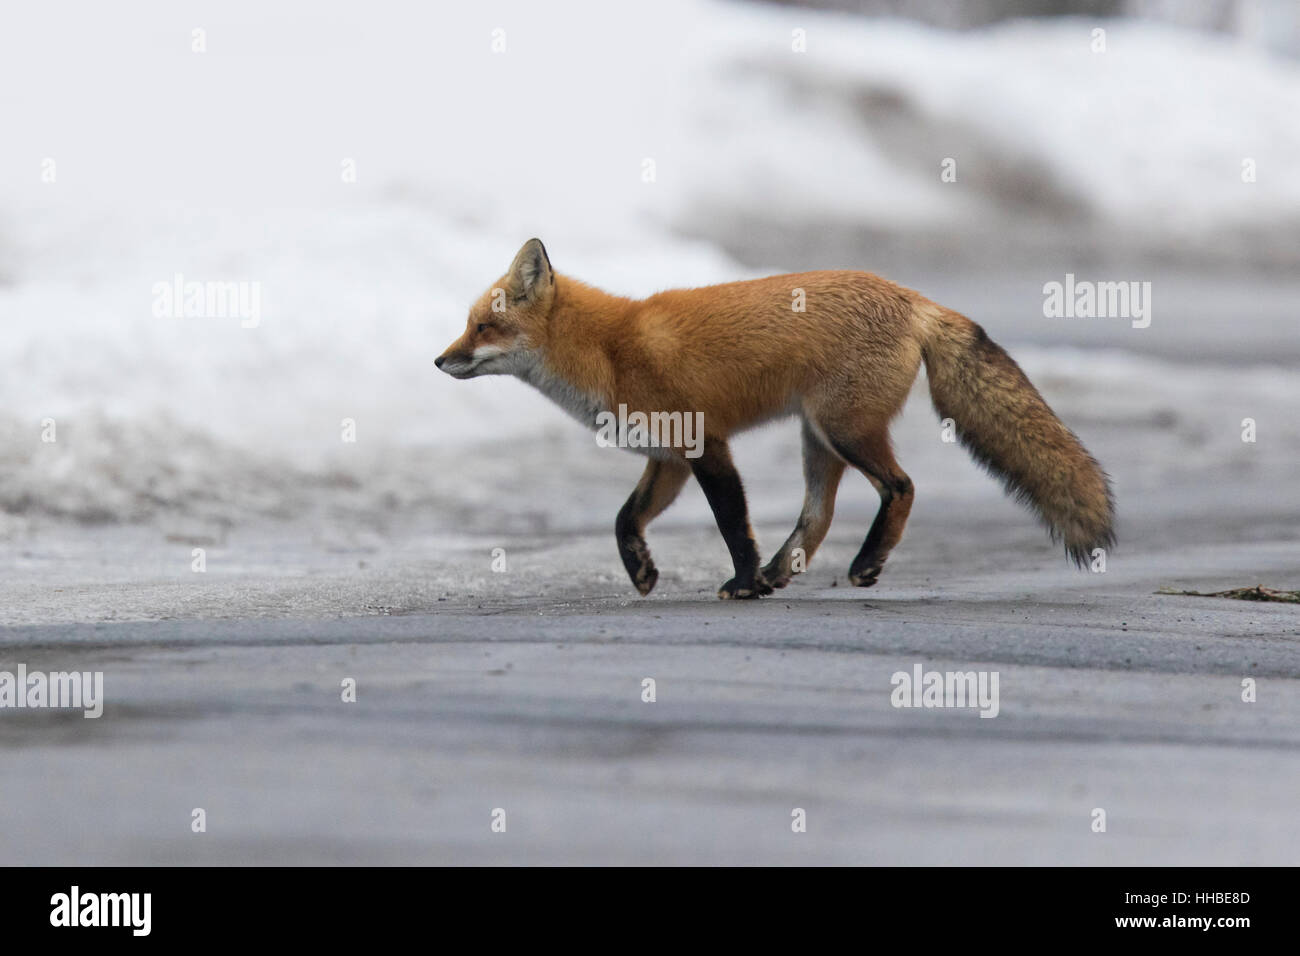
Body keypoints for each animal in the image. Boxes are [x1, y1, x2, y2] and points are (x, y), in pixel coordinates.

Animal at [436, 239, 1114, 599]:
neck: (610, 350)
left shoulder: (704, 443)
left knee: (901, 487)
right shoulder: (668, 458)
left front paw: (741, 584)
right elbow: (624, 519)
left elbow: (733, 524)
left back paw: (859, 565)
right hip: (819, 439)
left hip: (845, 431)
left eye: (485, 327)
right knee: (819, 513)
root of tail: (913, 297)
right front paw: (643, 571)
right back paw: (783, 571)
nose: (441, 359)